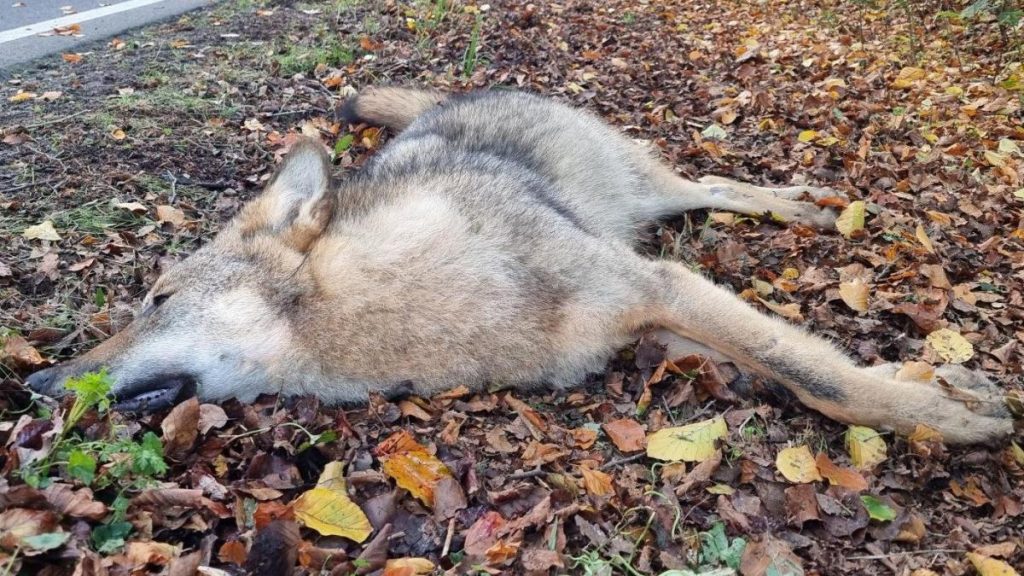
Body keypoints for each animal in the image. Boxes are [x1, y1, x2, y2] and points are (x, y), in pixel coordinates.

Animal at [25, 86, 1015, 444]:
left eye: (156, 299)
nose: (31, 388)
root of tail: (462, 92)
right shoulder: (655, 323)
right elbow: (796, 362)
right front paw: (928, 385)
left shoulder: (652, 284)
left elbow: (822, 376)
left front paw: (944, 414)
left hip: (648, 196)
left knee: (712, 182)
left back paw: (804, 207)